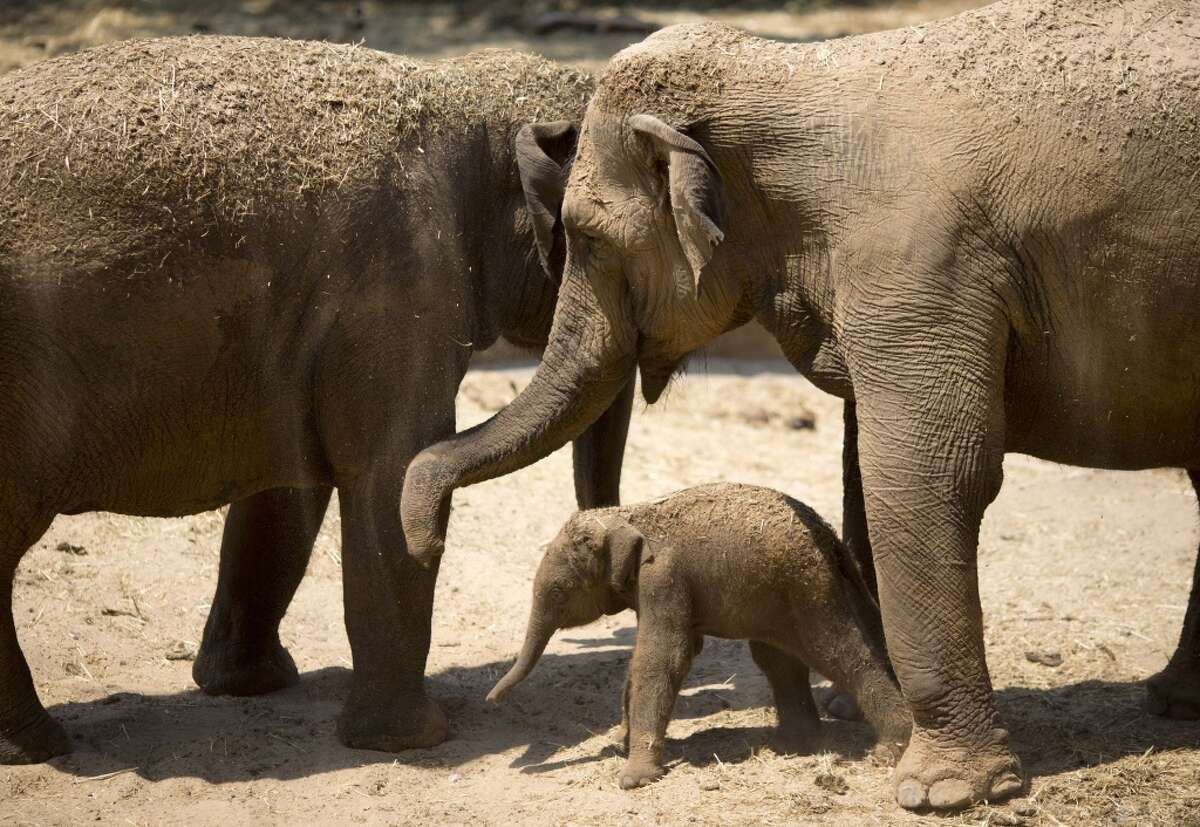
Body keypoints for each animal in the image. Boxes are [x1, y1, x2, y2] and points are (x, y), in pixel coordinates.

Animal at [0, 36, 636, 764]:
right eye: (603, 246)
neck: (463, 92)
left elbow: (284, 490)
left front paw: (248, 685)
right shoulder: (400, 282)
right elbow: (389, 474)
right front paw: (412, 740)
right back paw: (41, 745)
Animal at [486, 483, 911, 789]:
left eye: (559, 592)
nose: (491, 699)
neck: (630, 514)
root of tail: (830, 536)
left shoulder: (663, 578)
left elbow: (663, 657)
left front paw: (632, 779)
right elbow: (666, 653)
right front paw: (624, 745)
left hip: (809, 589)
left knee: (838, 653)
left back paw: (889, 751)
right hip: (779, 594)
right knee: (777, 660)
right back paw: (795, 746)